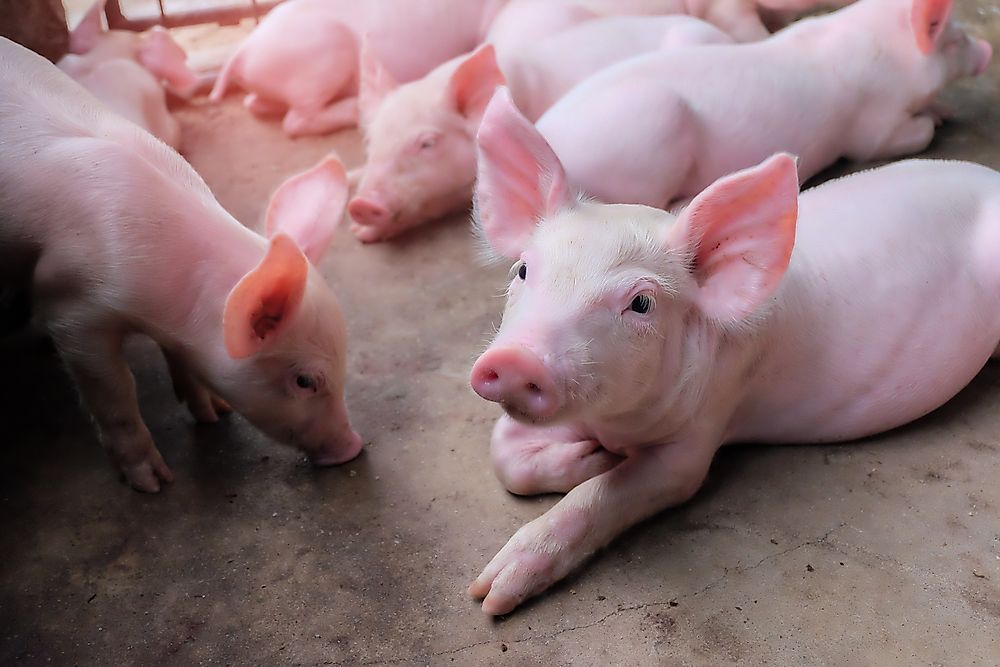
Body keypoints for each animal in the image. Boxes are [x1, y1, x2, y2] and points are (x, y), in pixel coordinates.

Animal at [0, 37, 360, 492]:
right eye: (305, 381)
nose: (353, 447)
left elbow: (182, 362)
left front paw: (215, 412)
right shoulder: (71, 308)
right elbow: (115, 393)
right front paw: (153, 483)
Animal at [466, 88, 1000, 615]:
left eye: (641, 303)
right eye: (523, 269)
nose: (514, 360)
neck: (612, 423)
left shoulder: (702, 429)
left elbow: (614, 493)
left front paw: (492, 595)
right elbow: (504, 455)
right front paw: (591, 457)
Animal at [535, 0, 992, 210]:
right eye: (954, 40)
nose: (988, 50)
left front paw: (944, 112)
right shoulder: (874, 129)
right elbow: (909, 136)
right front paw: (936, 121)